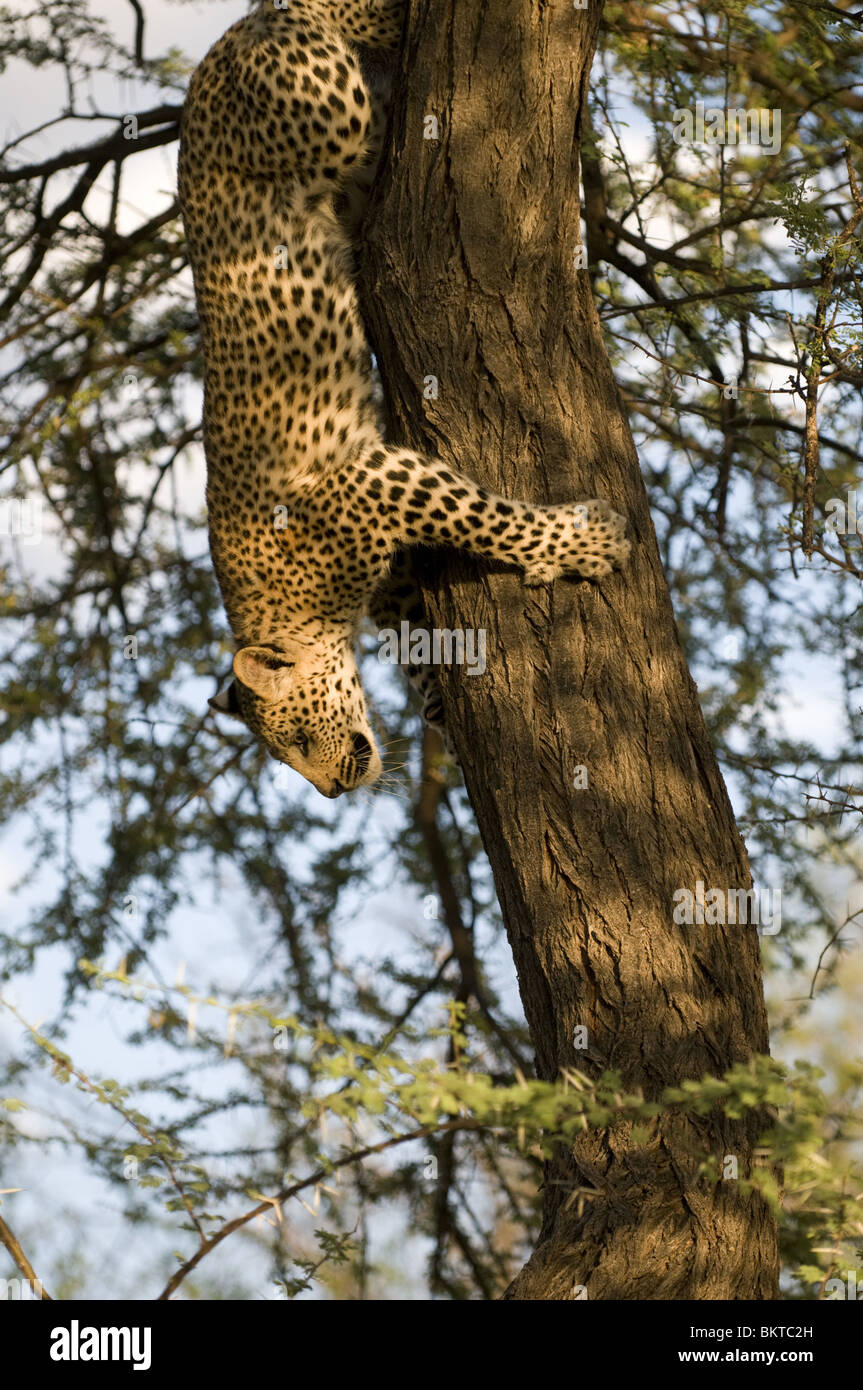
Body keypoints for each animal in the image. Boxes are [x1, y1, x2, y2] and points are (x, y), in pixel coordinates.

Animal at [177, 0, 631, 800]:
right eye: (286, 760)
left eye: (298, 739)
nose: (330, 790)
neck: (296, 612)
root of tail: (202, 75)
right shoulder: (384, 561)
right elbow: (414, 631)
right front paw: (437, 702)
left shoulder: (369, 481)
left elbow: (488, 521)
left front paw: (585, 542)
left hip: (323, 112)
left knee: (300, 21)